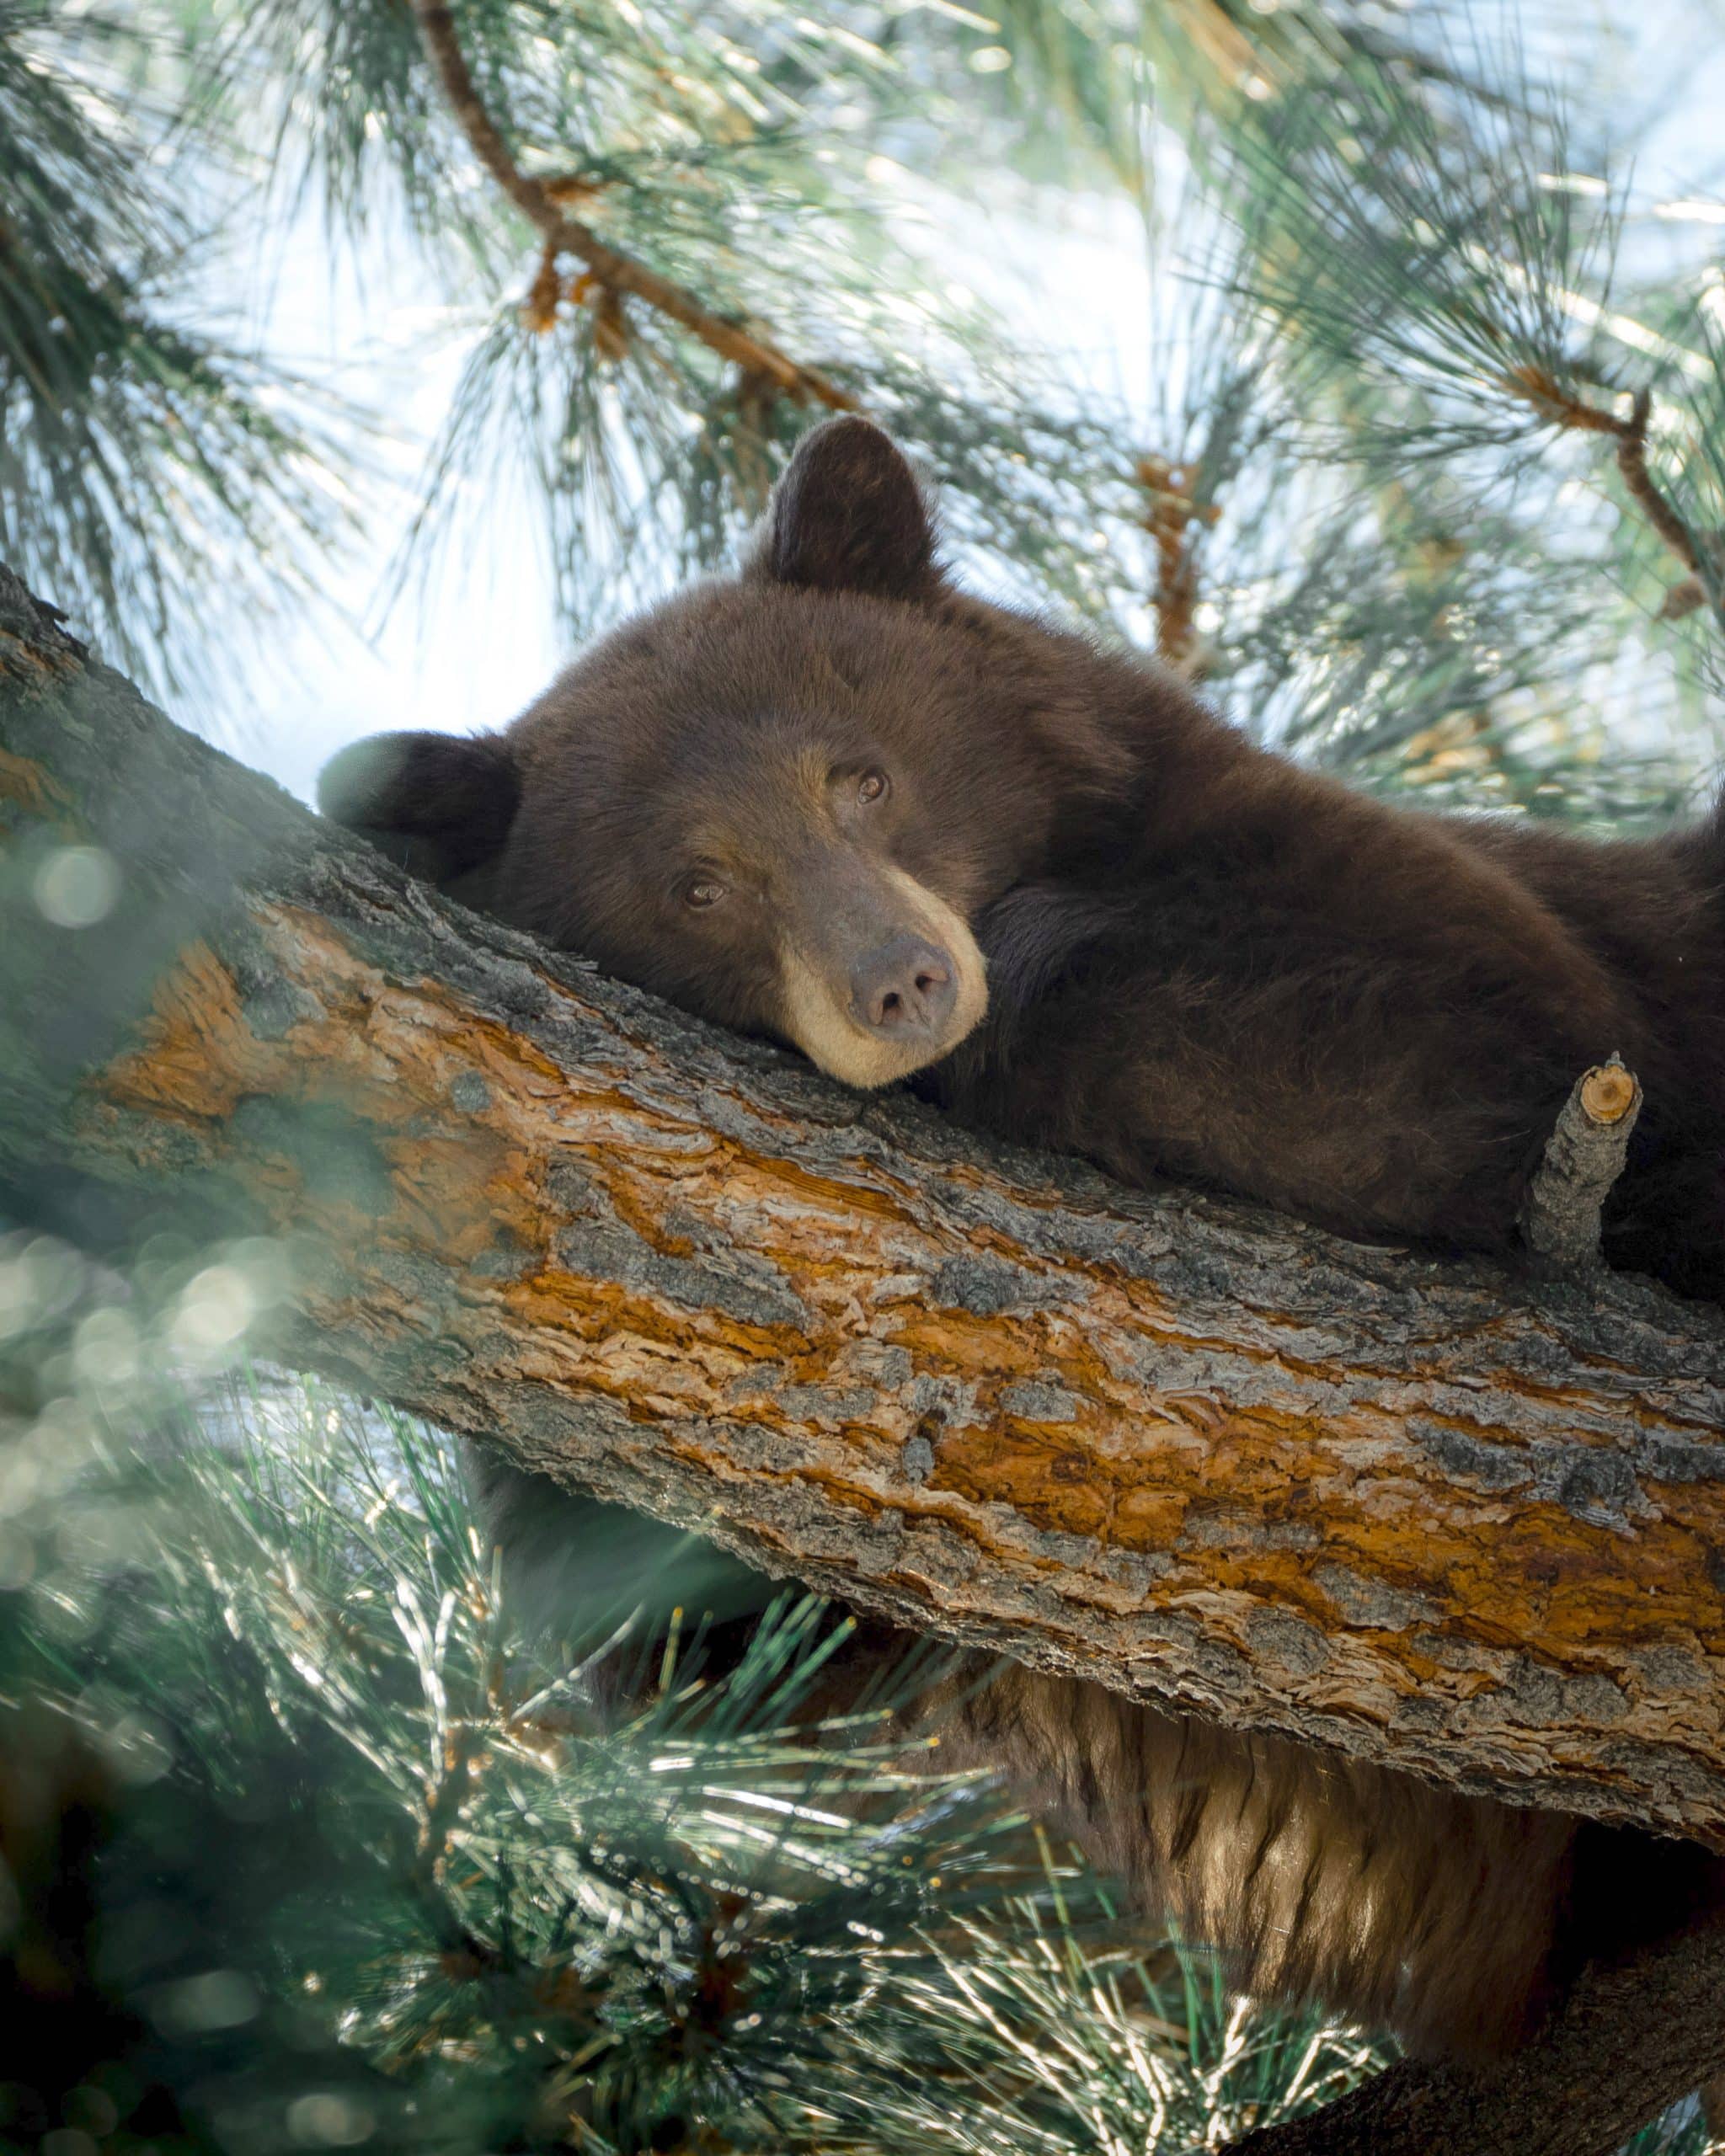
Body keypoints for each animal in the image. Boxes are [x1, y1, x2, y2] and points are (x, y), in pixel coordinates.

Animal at [319, 414, 1725, 2073]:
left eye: (858, 777)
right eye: (697, 883)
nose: (900, 982)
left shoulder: (1402, 908)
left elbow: (1445, 1038)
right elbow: (705, 1659)